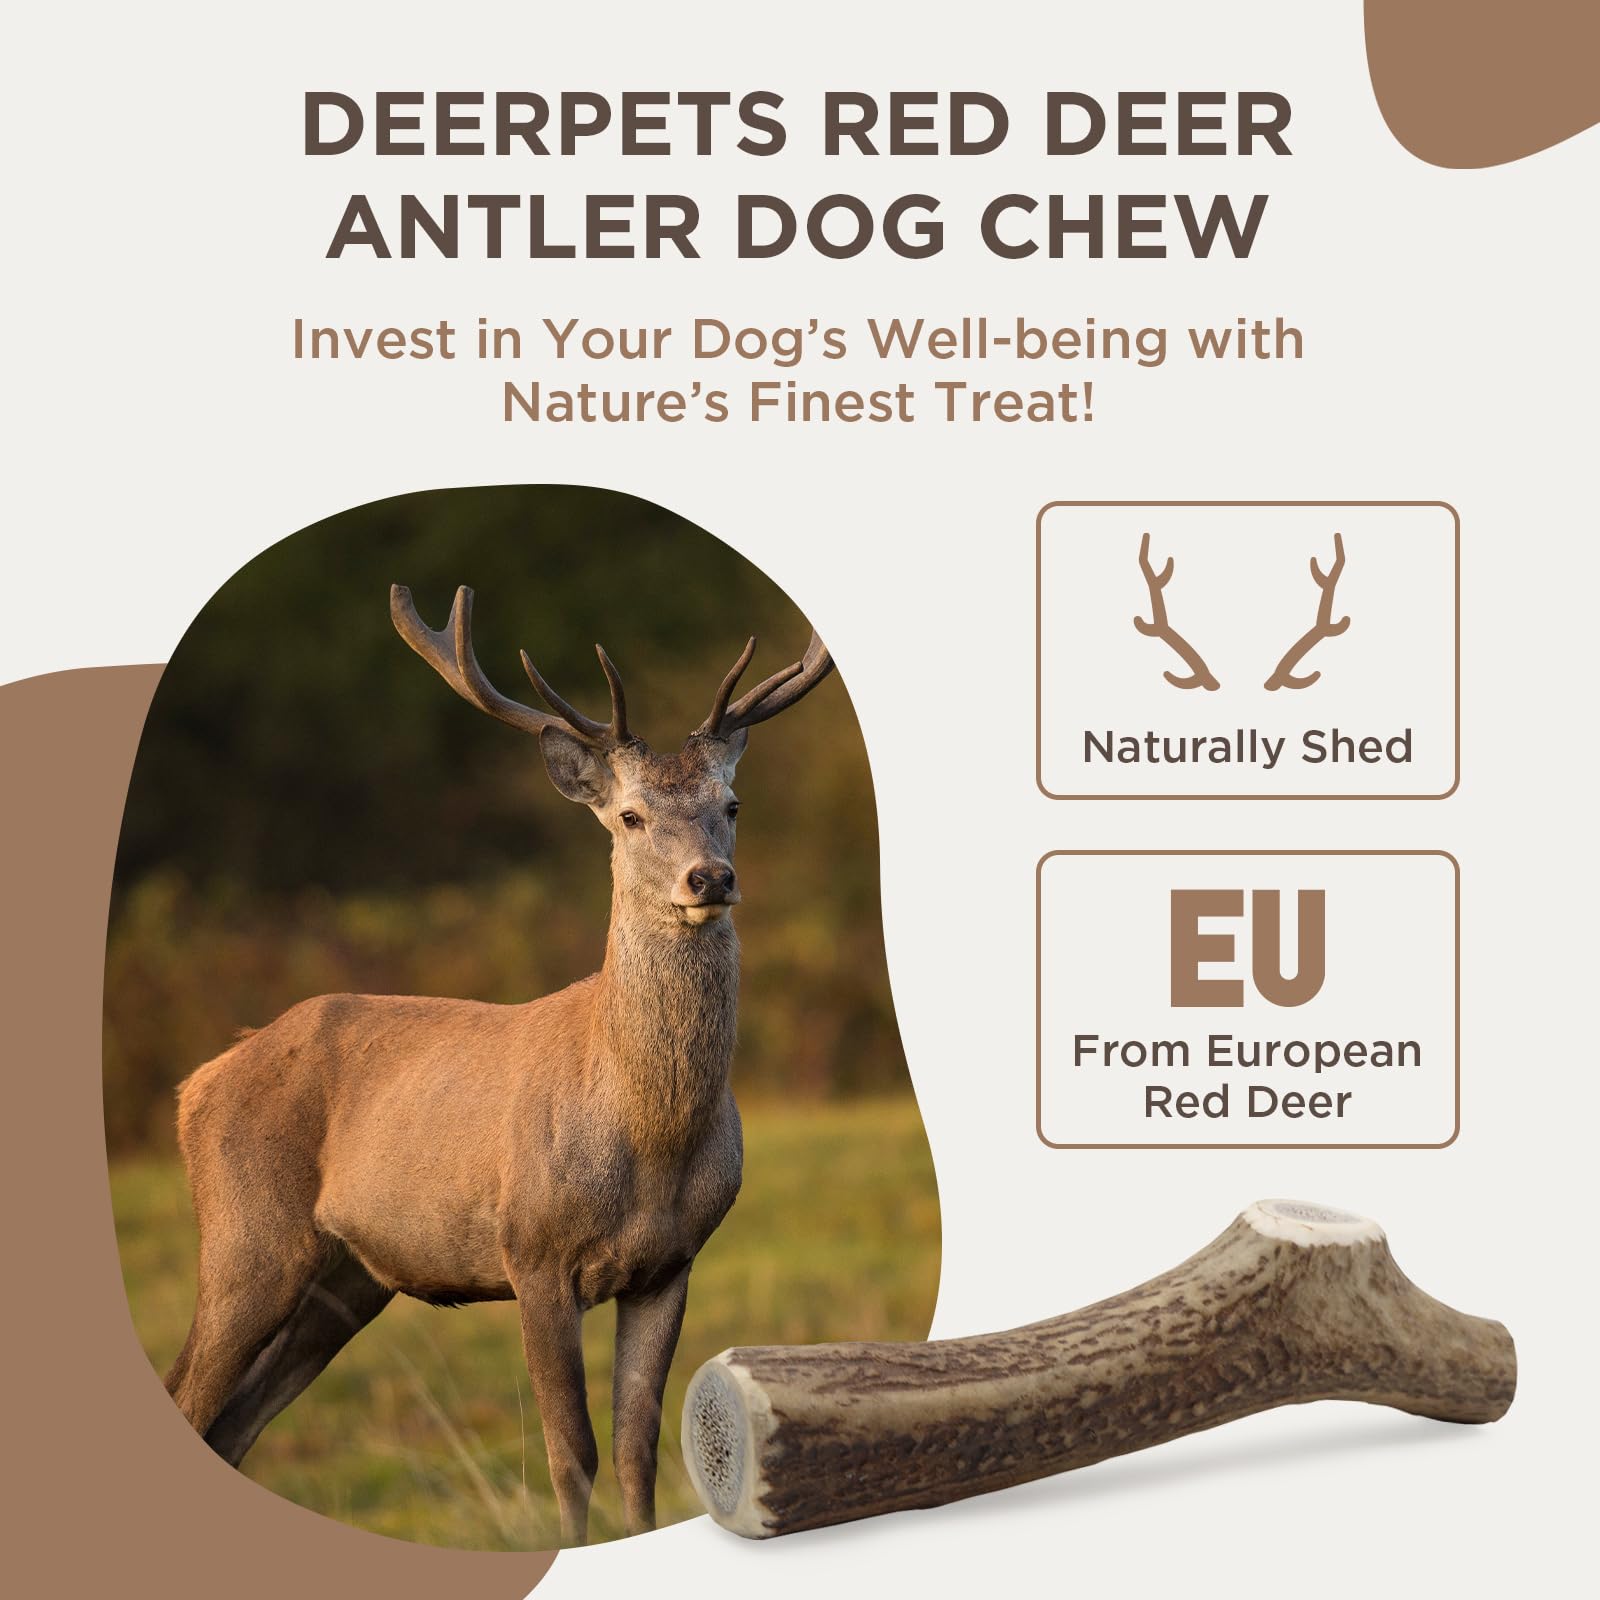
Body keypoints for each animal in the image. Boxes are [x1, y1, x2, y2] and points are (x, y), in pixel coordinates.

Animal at [162, 581, 835, 1546]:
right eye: (630, 816)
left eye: (732, 806)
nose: (710, 879)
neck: (649, 1138)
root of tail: (195, 1083)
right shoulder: (533, 1251)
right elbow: (571, 1451)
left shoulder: (670, 1264)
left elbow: (638, 1446)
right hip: (245, 1237)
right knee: (189, 1397)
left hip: (345, 1283)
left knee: (232, 1427)